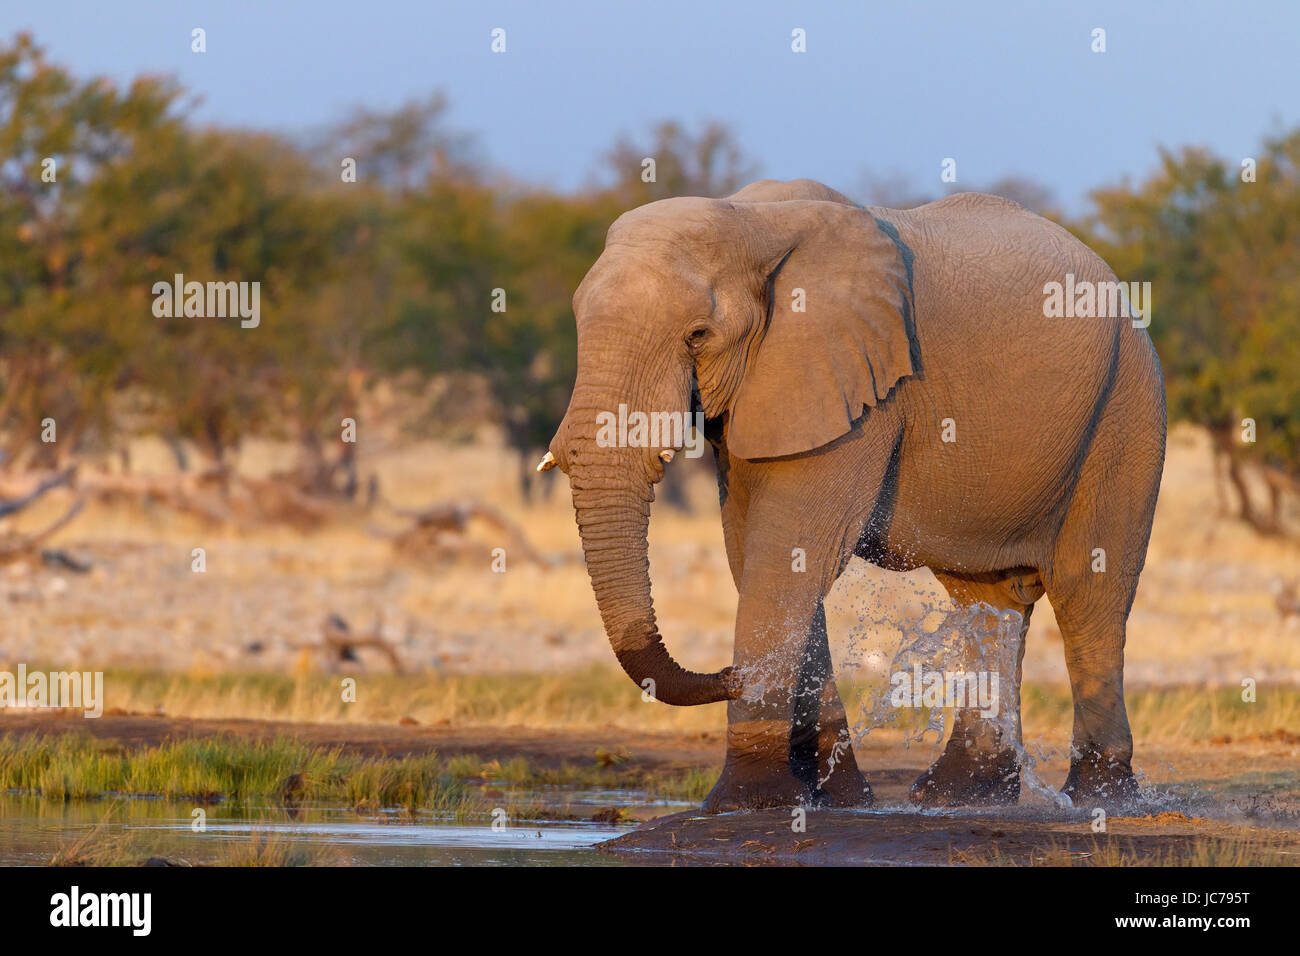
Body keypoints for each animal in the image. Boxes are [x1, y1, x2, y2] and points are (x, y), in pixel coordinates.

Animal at [539, 178, 1166, 813]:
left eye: (698, 336)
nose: (727, 673)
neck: (751, 220)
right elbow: (754, 551)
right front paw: (833, 798)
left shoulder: (861, 389)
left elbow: (787, 554)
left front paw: (749, 802)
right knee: (986, 598)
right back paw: (961, 793)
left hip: (1127, 407)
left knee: (1089, 592)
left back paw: (1101, 797)